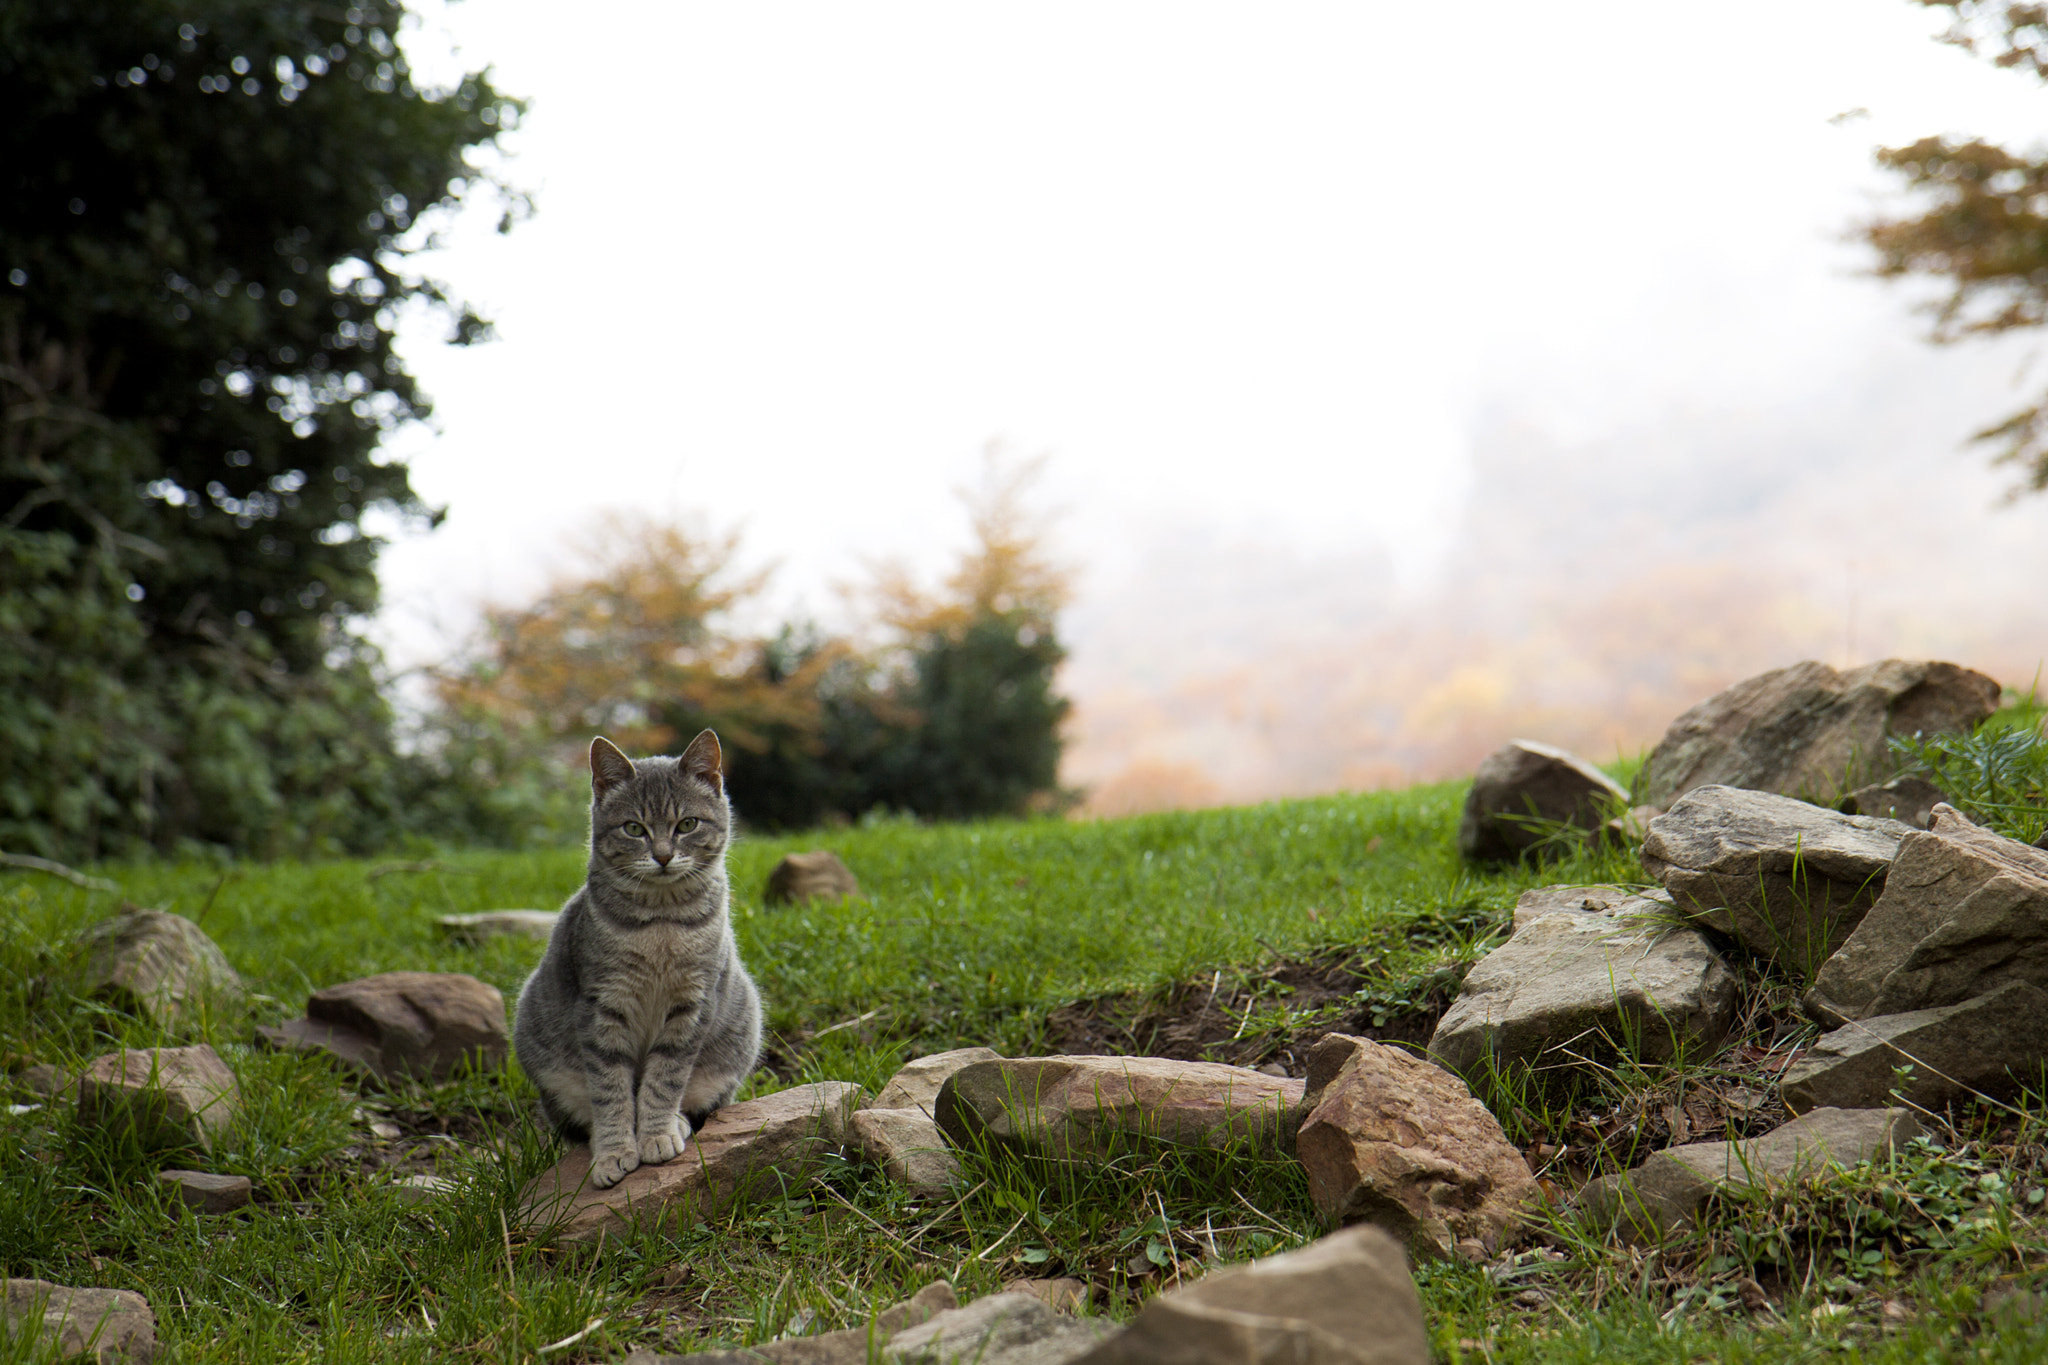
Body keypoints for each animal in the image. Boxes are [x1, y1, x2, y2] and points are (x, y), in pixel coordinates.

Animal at [516, 732, 765, 1186]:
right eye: (634, 828)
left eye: (687, 824)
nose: (663, 856)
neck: (661, 925)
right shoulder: (602, 1005)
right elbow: (611, 1090)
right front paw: (615, 1151)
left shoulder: (692, 1004)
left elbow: (665, 1080)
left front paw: (657, 1134)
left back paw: (679, 1124)